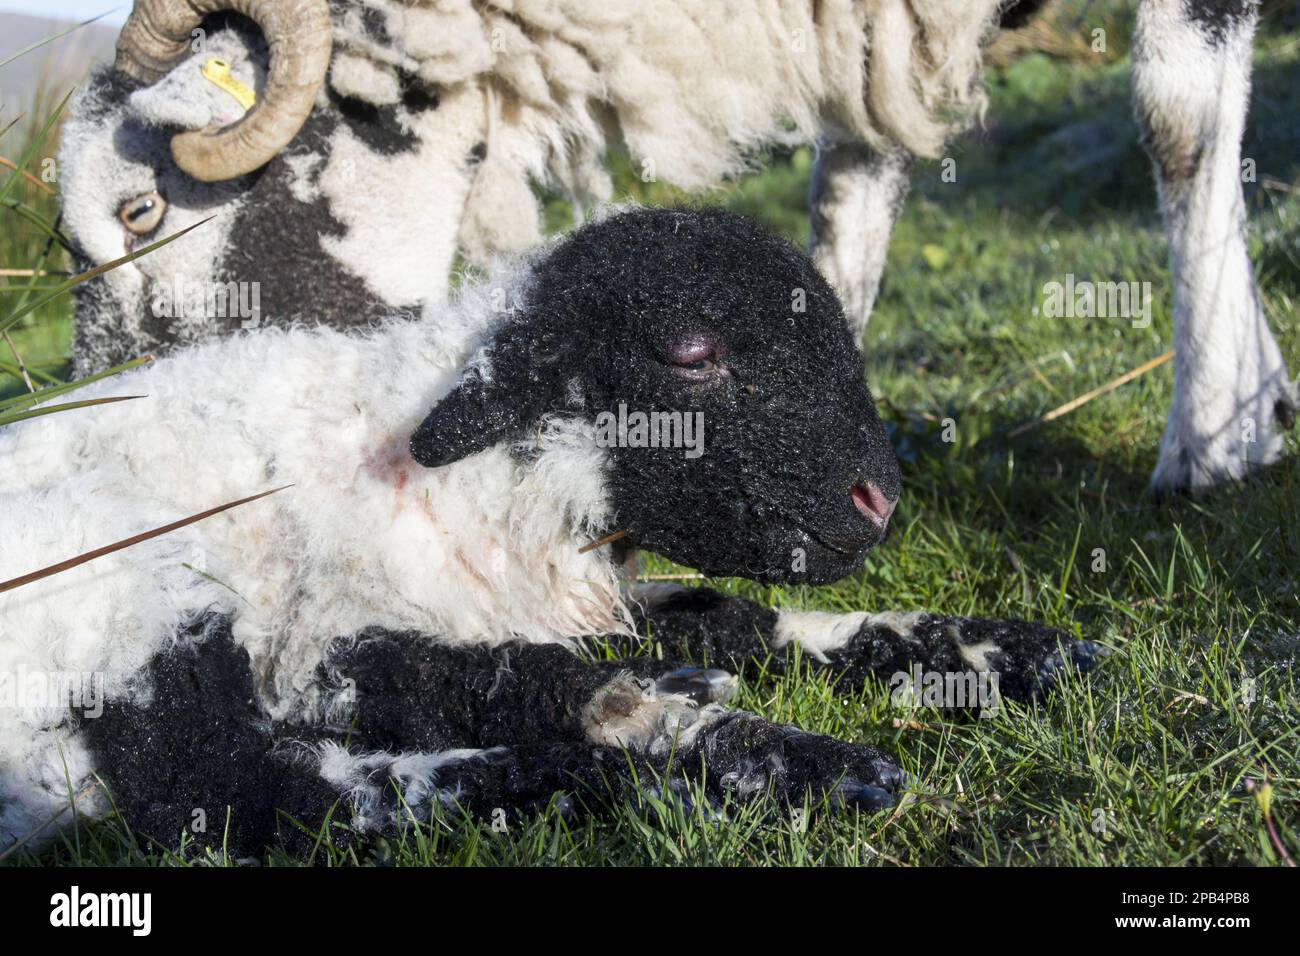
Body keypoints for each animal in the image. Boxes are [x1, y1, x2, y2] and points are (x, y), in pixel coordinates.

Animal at [0, 208, 1100, 856]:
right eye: (691, 352)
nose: (880, 500)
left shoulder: (576, 590)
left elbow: (733, 614)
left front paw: (1005, 648)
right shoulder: (314, 640)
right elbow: (507, 680)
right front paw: (774, 755)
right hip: (129, 585)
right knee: (225, 790)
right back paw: (640, 789)